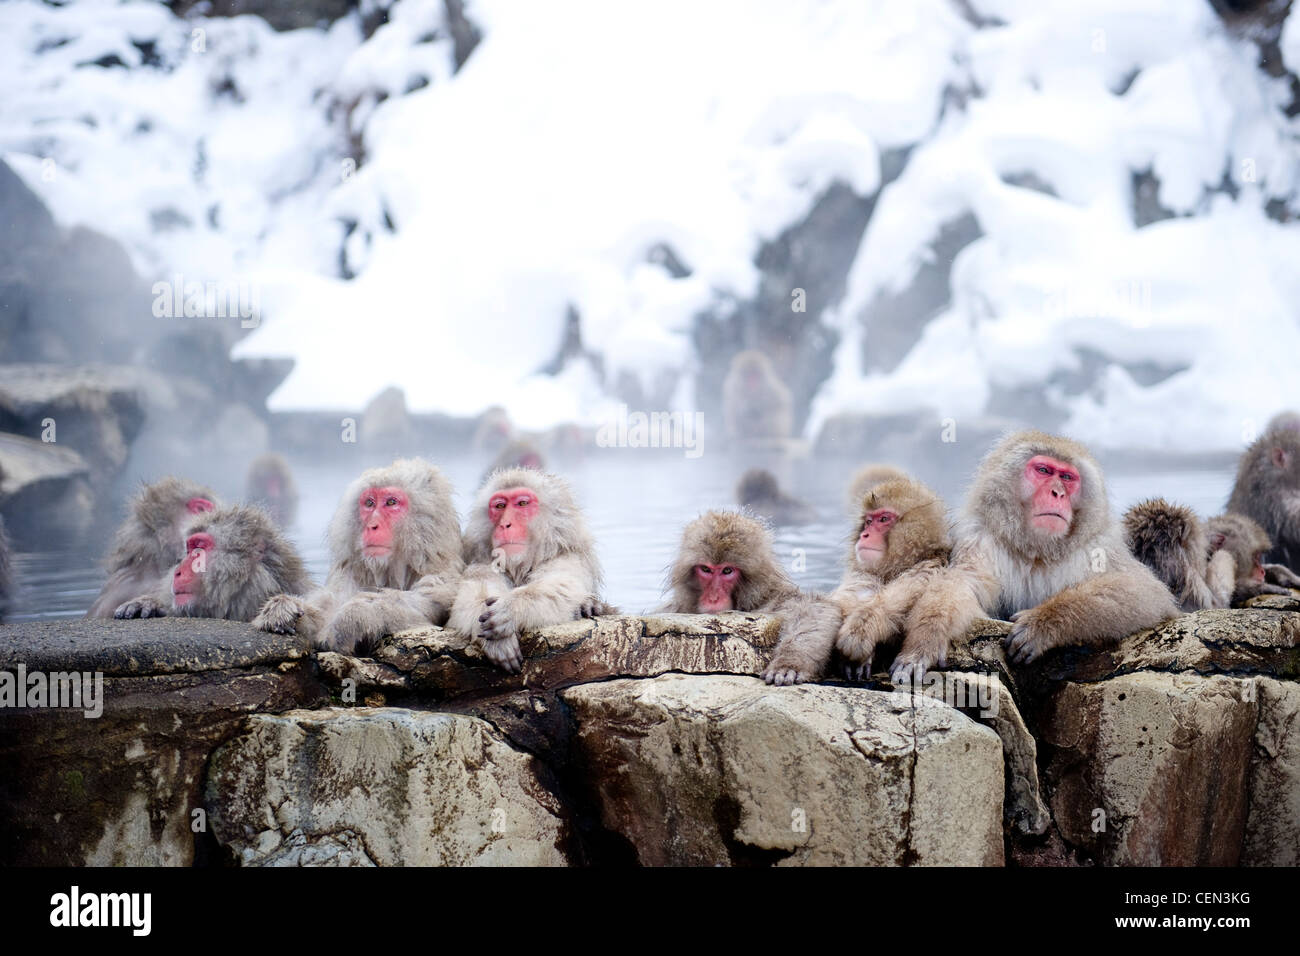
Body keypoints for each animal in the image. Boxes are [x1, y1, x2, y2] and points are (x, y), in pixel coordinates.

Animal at [253, 458, 464, 655]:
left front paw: (352, 616)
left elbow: (427, 605)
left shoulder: (441, 576)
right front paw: (284, 609)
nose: (372, 525)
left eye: (391, 502)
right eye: (369, 503)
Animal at [449, 467, 615, 673]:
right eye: (500, 506)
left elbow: (562, 587)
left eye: (522, 503)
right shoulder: (483, 564)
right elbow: (467, 602)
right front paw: (496, 642)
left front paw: (510, 609)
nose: (505, 524)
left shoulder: (567, 557)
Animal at [659, 510, 840, 686]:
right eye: (705, 569)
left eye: (727, 571)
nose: (713, 597)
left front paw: (789, 662)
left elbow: (812, 608)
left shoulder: (774, 597)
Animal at [831, 476, 957, 682]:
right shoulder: (866, 574)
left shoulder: (931, 566)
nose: (864, 535)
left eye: (883, 519)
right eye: (868, 522)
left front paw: (862, 628)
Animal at [927, 431, 1179, 668]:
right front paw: (930, 633)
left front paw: (1043, 622)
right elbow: (964, 585)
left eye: (1067, 477)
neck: (1037, 552)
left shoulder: (1098, 546)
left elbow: (1143, 591)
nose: (1058, 493)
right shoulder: (978, 538)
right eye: (1044, 470)